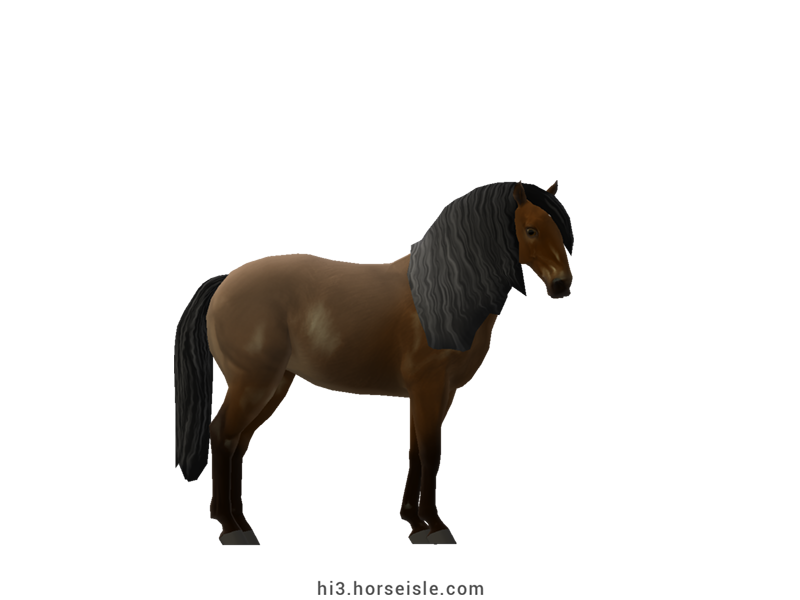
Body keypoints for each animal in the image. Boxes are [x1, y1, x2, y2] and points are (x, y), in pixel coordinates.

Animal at [175, 181, 574, 544]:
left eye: (558, 224)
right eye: (531, 229)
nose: (562, 283)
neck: (439, 298)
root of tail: (226, 282)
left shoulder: (432, 392)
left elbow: (416, 452)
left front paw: (414, 523)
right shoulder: (429, 386)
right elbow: (431, 452)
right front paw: (436, 526)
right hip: (251, 383)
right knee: (222, 436)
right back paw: (231, 528)